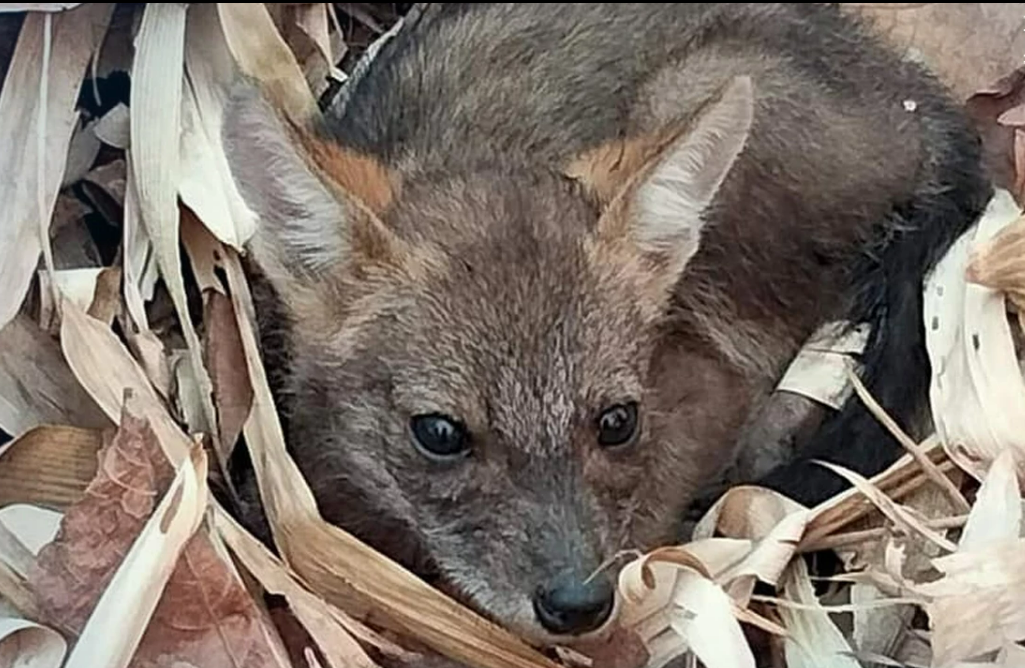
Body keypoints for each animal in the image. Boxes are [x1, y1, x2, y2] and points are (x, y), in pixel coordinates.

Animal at [222, 1, 991, 652]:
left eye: (617, 421)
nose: (577, 605)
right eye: (438, 433)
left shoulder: (697, 393)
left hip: (687, 108)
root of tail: (921, 104)